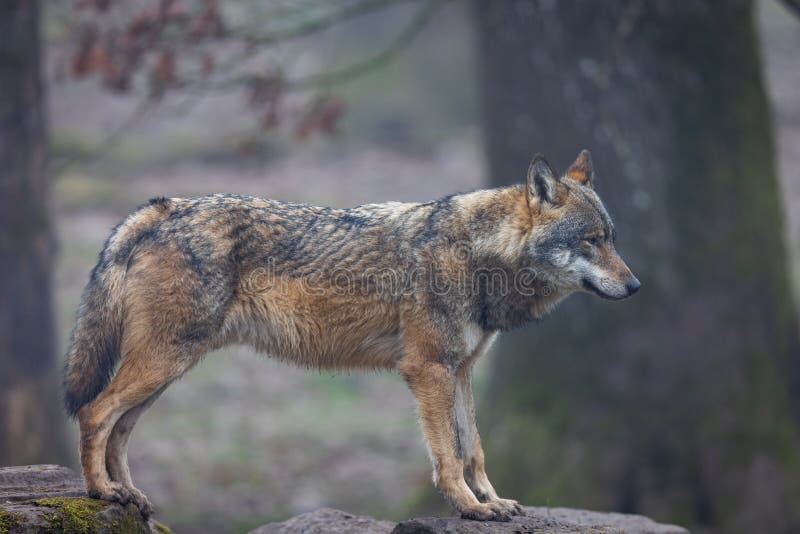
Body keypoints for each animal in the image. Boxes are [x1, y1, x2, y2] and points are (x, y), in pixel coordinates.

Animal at [63, 149, 639, 521]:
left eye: (612, 238)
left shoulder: (461, 369)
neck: (480, 257)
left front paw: (491, 502)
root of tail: (164, 205)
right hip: (163, 363)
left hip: (167, 371)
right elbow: (449, 457)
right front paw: (469, 508)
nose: (636, 286)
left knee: (118, 429)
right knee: (93, 413)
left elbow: (473, 448)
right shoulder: (427, 369)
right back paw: (102, 494)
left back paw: (130, 495)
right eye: (592, 241)